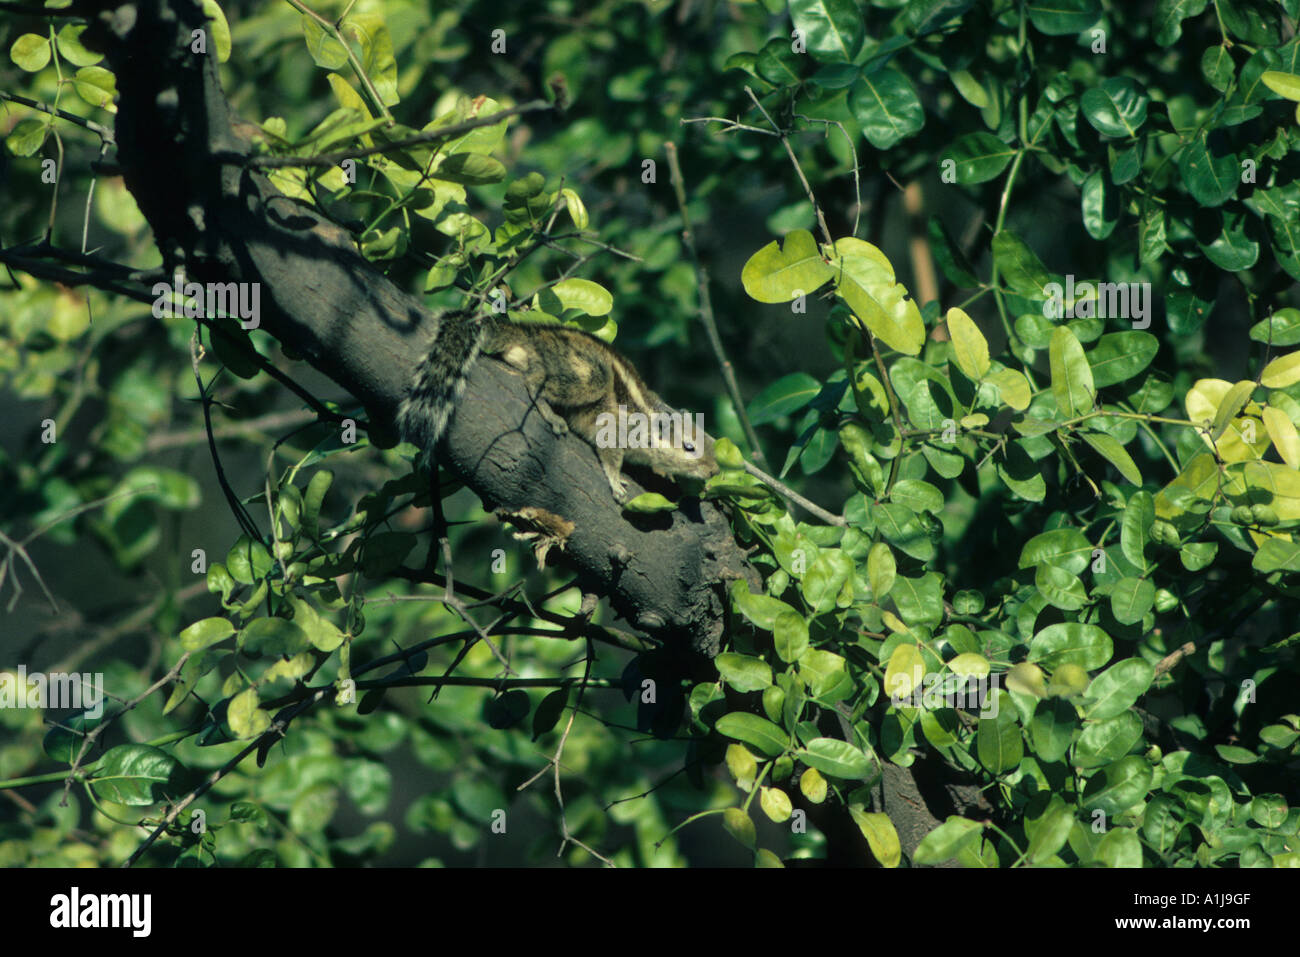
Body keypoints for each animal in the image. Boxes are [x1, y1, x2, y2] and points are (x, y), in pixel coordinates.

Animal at [397, 311, 719, 502]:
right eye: (689, 447)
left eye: (713, 442)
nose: (715, 470)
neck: (649, 416)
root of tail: (533, 335)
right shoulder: (615, 428)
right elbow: (611, 456)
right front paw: (616, 482)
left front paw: (663, 473)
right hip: (589, 377)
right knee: (534, 382)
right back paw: (551, 415)